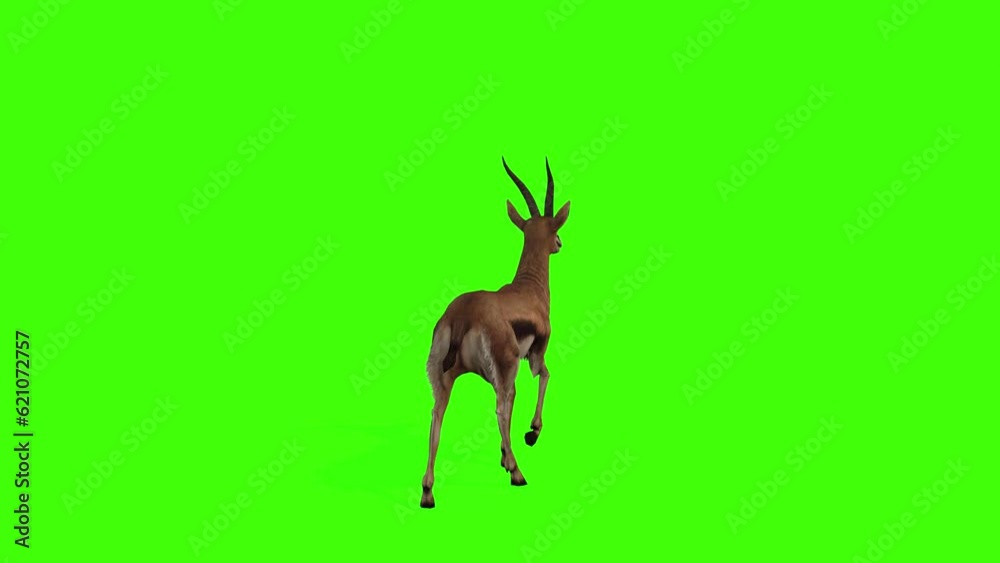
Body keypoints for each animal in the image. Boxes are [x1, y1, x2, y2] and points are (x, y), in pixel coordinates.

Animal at [420, 157, 571, 509]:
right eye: (554, 228)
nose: (560, 244)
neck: (529, 290)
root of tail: (461, 316)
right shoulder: (532, 356)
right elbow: (544, 377)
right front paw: (531, 433)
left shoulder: (508, 373)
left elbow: (514, 399)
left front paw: (504, 455)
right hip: (502, 365)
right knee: (499, 408)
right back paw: (518, 474)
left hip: (443, 377)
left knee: (437, 416)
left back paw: (428, 493)